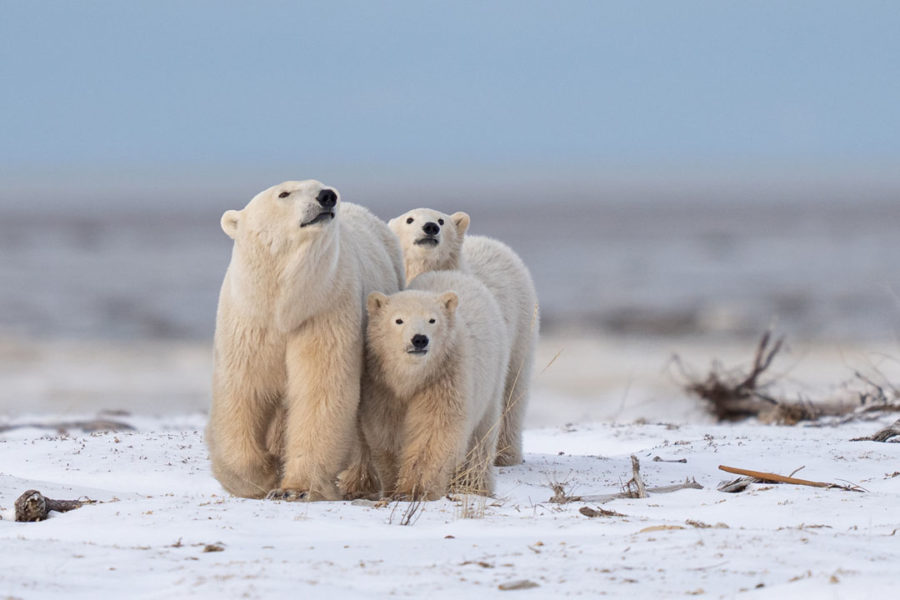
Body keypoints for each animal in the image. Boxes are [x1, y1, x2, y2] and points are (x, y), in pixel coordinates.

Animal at [206, 180, 405, 501]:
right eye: (283, 193)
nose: (328, 196)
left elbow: (320, 390)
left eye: (321, 186)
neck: (286, 304)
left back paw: (357, 480)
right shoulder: (250, 322)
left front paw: (296, 488)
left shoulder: (325, 312)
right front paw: (257, 476)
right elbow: (244, 390)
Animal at [361, 270, 509, 500]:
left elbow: (434, 431)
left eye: (432, 320)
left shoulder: (443, 377)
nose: (419, 339)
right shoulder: (380, 386)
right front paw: (393, 484)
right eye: (398, 320)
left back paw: (476, 486)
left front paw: (414, 489)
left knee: (481, 438)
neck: (412, 377)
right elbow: (385, 430)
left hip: (492, 378)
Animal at [388, 208, 539, 466]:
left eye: (441, 220)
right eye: (409, 219)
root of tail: (495, 243)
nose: (430, 227)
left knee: (514, 387)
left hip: (522, 325)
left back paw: (506, 454)